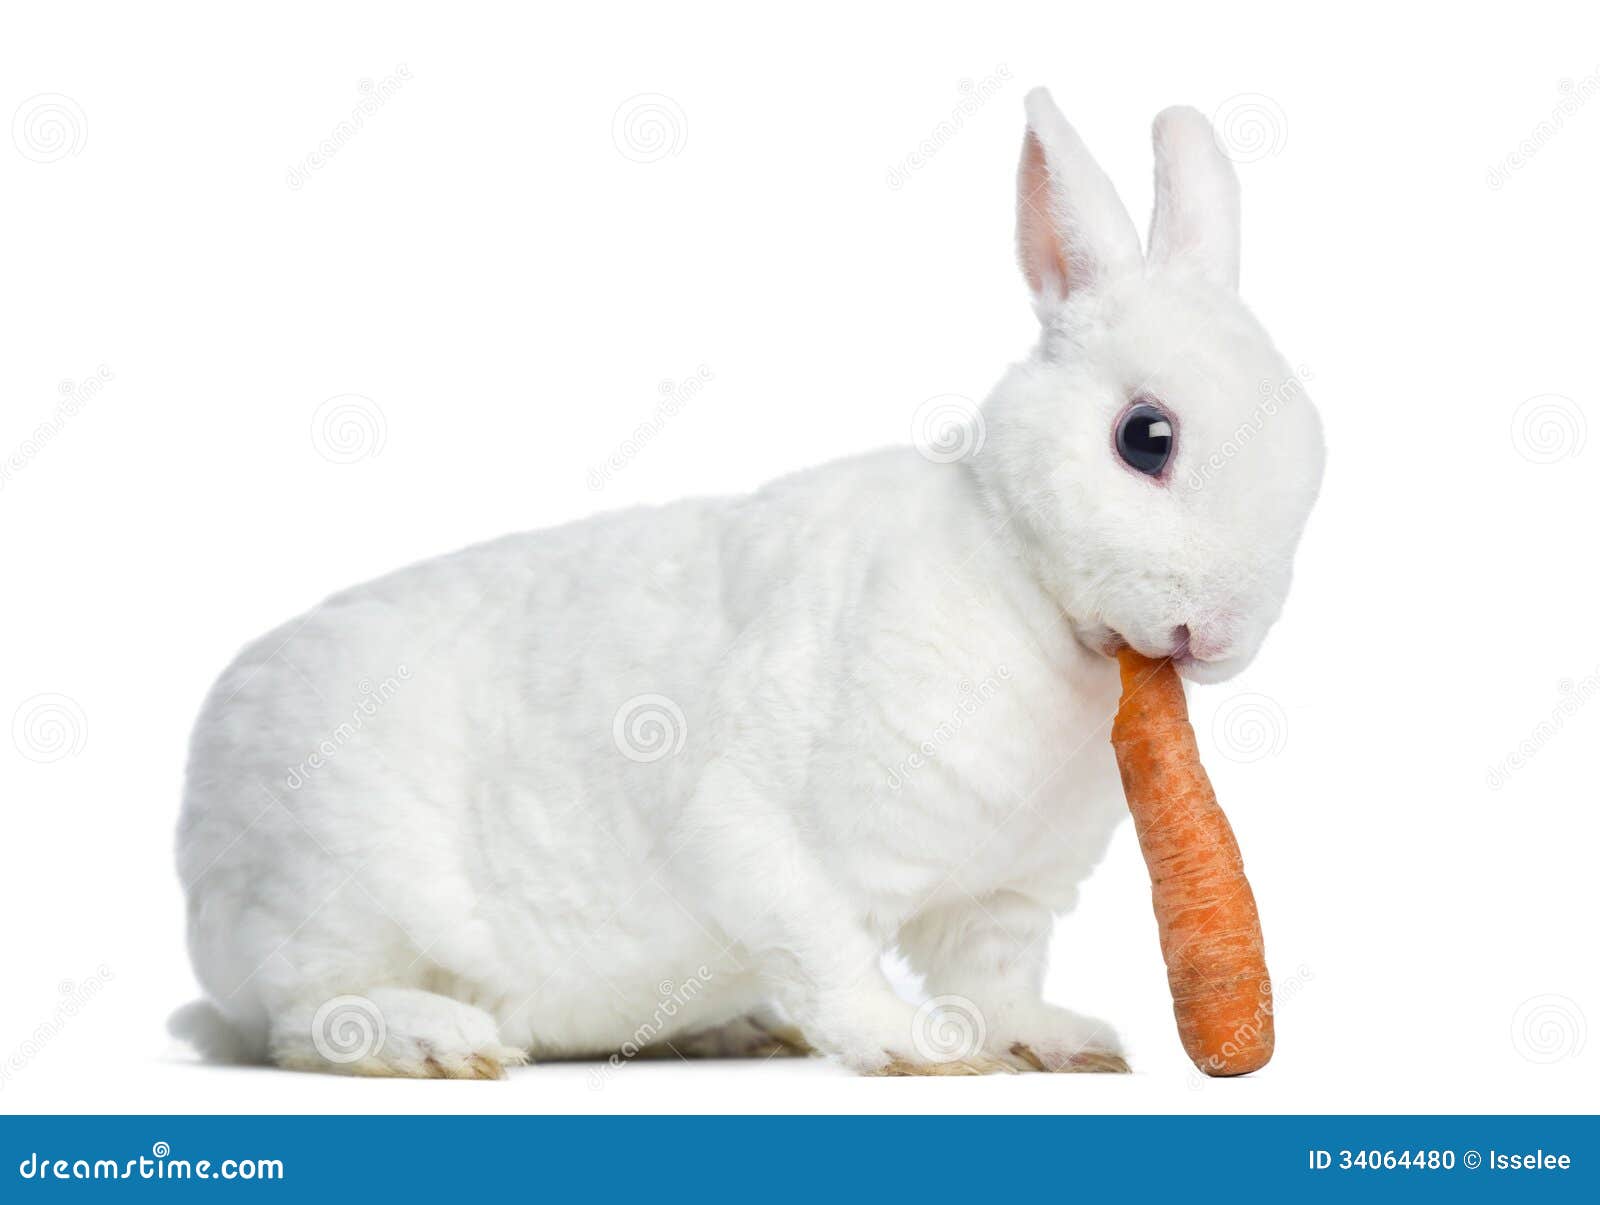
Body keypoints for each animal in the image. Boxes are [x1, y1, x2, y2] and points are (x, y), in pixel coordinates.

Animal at [172, 88, 1325, 1079]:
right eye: (1145, 437)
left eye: (1315, 454)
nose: (1219, 635)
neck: (1015, 581)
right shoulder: (761, 839)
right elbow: (831, 956)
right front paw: (916, 1049)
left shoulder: (1002, 897)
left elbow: (999, 982)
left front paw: (1066, 1042)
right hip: (329, 895)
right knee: (308, 1019)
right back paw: (440, 1042)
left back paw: (729, 1031)